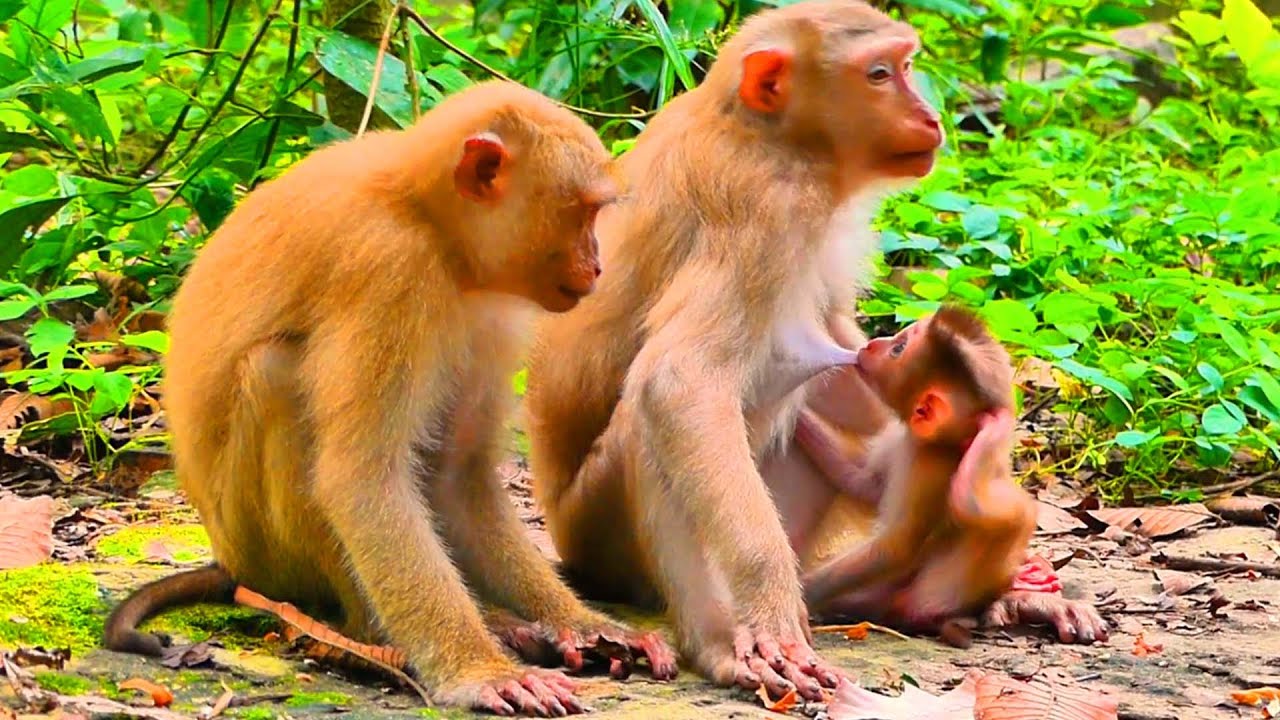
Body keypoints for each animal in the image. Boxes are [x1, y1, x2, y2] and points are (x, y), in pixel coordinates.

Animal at [101, 80, 677, 717]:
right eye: (584, 211)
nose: (597, 265)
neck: (429, 223)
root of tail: (229, 558)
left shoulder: (490, 309)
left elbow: (458, 475)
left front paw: (583, 624)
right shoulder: (390, 273)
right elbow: (361, 477)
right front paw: (480, 671)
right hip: (259, 549)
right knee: (279, 376)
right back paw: (374, 633)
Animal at [523, 1, 946, 702]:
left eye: (905, 66)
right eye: (880, 74)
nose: (931, 116)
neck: (766, 135)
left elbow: (848, 358)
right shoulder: (760, 207)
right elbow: (680, 380)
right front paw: (771, 610)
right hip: (598, 532)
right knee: (651, 417)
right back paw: (715, 643)